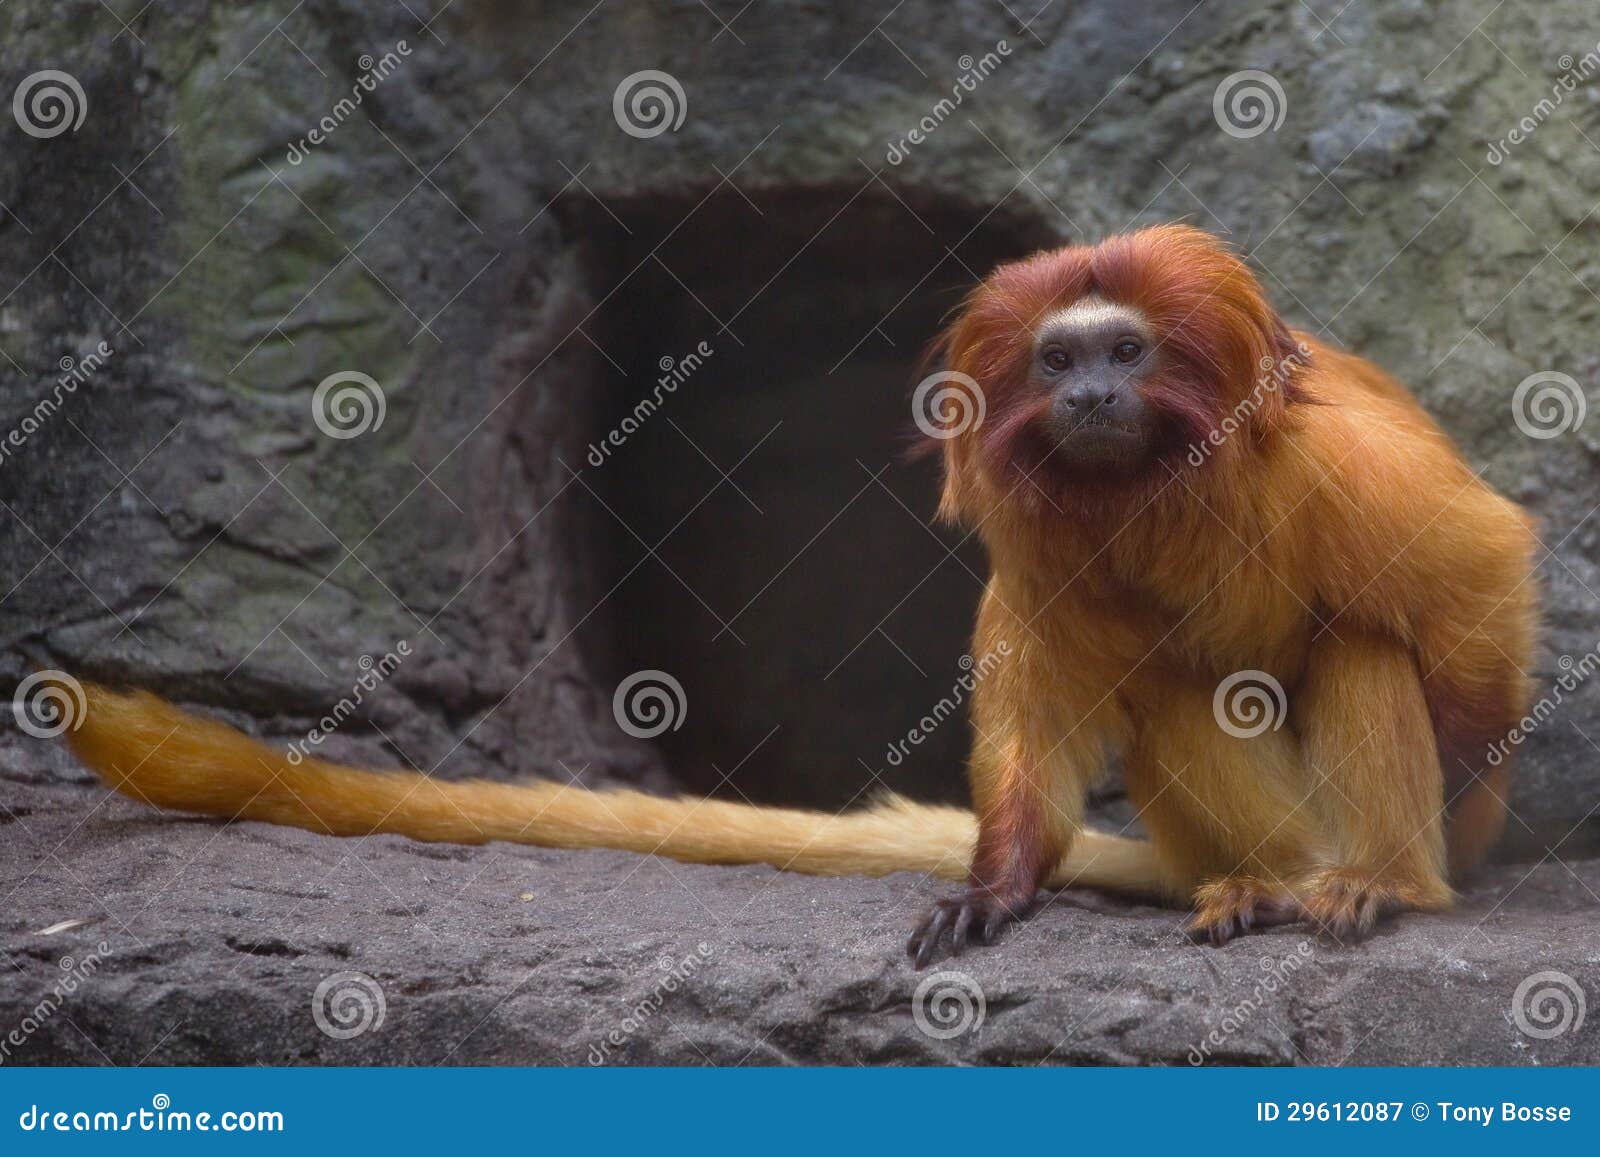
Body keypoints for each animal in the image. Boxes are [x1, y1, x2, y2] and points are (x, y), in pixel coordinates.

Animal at [49, 225, 1536, 969]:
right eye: (1057, 365)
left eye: (1124, 351)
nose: (1091, 398)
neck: (1161, 479)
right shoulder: (1039, 537)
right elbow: (1041, 723)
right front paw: (1000, 882)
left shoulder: (1333, 463)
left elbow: (1476, 572)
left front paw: (1469, 770)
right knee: (1171, 687)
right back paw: (1256, 887)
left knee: (1365, 642)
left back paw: (1378, 882)